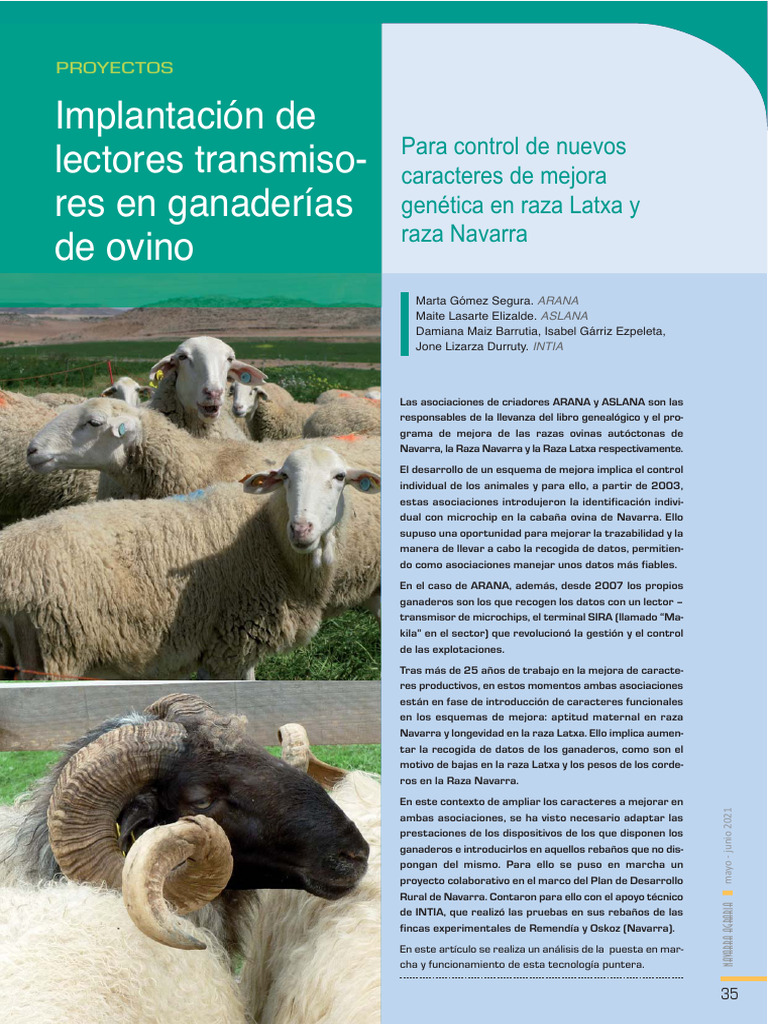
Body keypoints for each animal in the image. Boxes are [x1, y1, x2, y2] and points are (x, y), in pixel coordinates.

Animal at [0, 446, 381, 679]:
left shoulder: (213, 646)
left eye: (339, 478)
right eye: (285, 476)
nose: (301, 528)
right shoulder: (233, 645)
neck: (268, 534)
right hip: (55, 655)